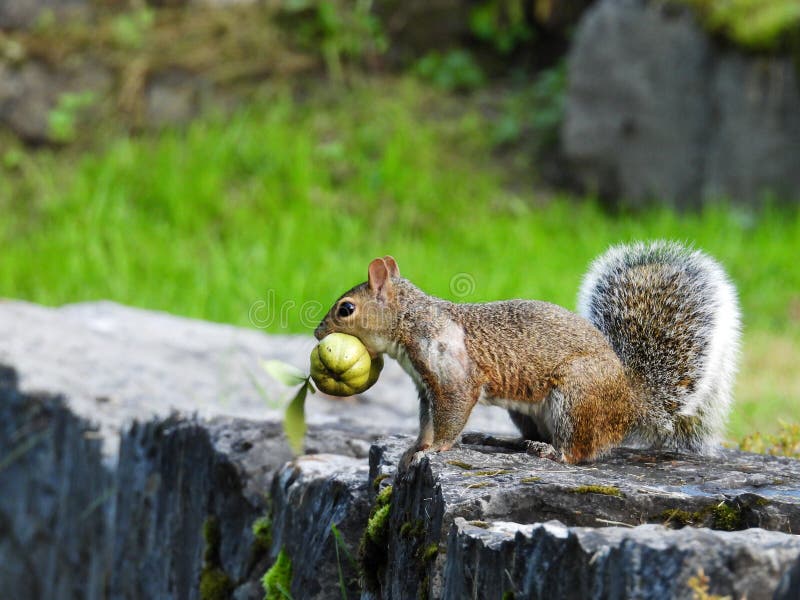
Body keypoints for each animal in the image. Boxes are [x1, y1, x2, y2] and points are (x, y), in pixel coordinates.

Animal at [314, 241, 741, 468]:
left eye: (345, 309)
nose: (317, 332)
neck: (411, 319)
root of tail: (629, 402)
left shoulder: (454, 376)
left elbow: (450, 416)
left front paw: (435, 450)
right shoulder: (425, 387)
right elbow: (426, 421)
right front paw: (415, 448)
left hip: (576, 397)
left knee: (579, 451)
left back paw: (549, 451)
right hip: (526, 411)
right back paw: (506, 442)